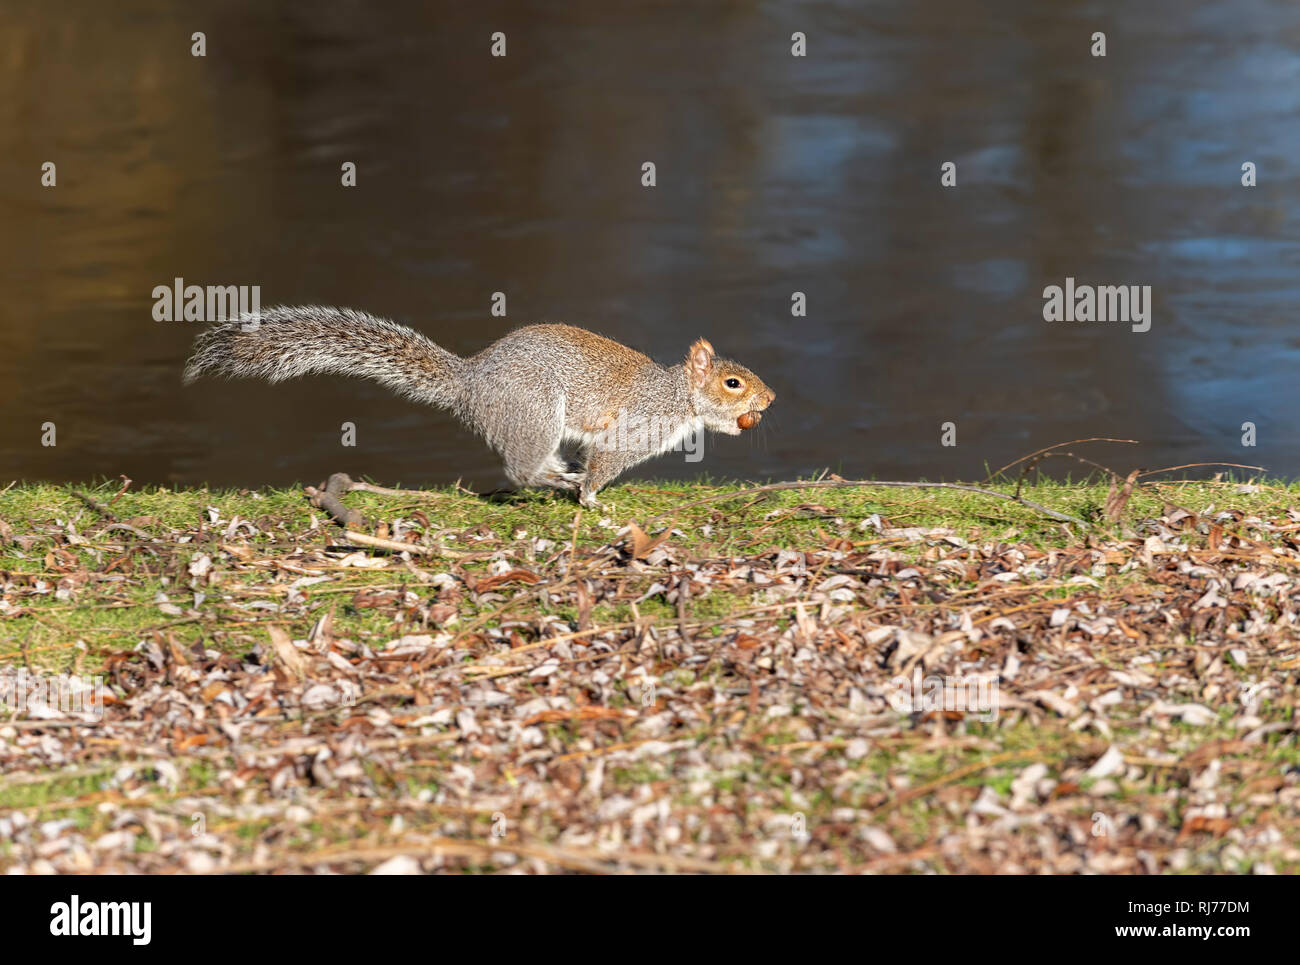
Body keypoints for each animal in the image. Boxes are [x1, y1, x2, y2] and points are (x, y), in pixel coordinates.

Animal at [183, 305, 775, 506]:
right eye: (733, 383)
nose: (770, 399)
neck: (677, 396)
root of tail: (472, 383)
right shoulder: (632, 431)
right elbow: (602, 465)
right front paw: (591, 499)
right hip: (535, 414)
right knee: (520, 471)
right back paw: (557, 480)